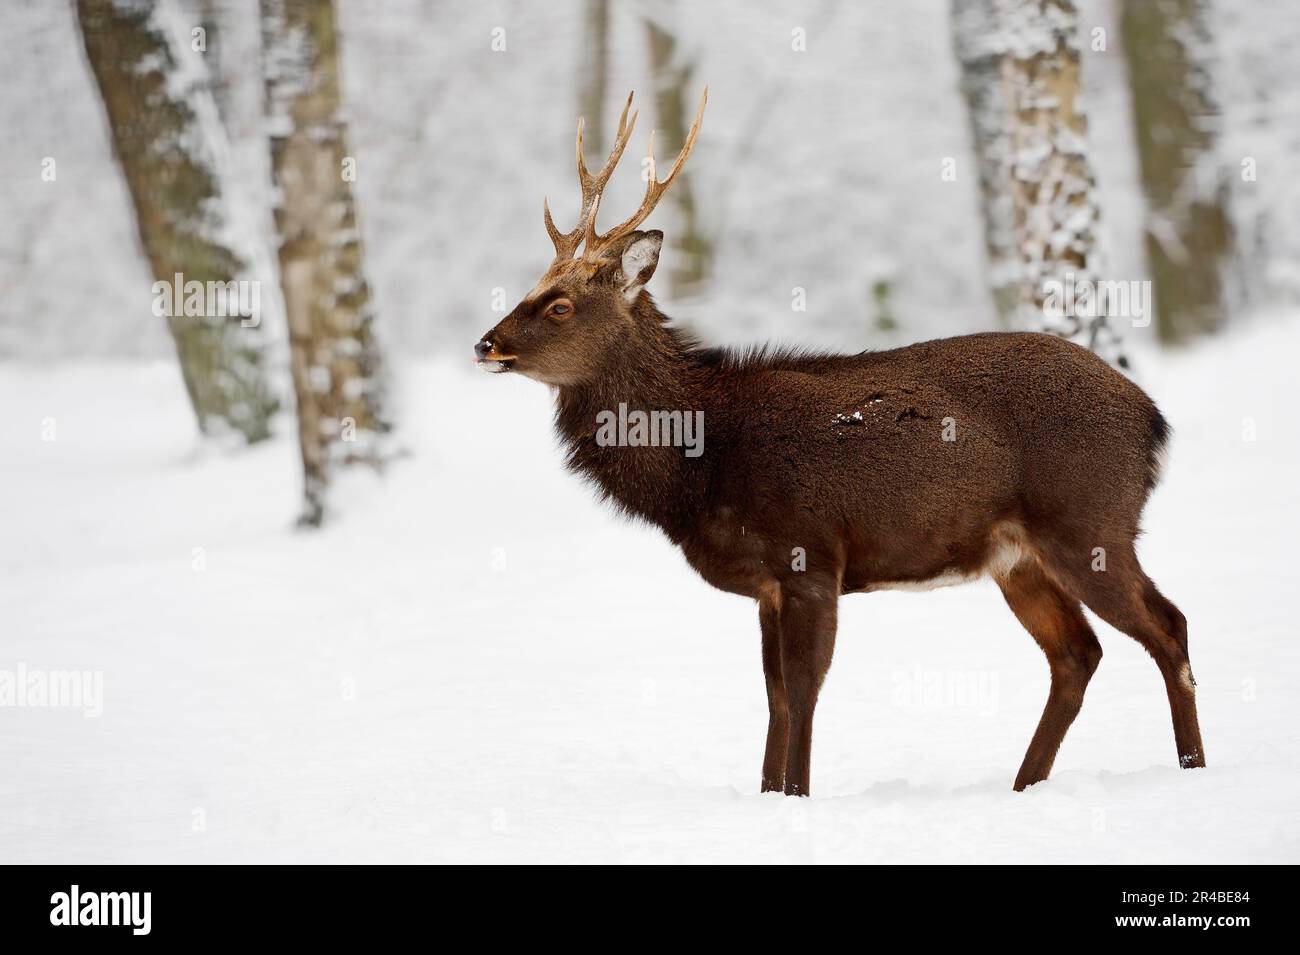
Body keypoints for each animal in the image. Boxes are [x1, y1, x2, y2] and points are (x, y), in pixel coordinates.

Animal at [475, 90, 1206, 796]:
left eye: (560, 305)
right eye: (533, 288)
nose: (486, 343)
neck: (700, 464)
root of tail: (1153, 417)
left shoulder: (811, 555)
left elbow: (802, 692)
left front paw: (797, 796)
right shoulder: (769, 583)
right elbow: (773, 695)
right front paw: (771, 796)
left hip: (1089, 522)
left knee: (1168, 625)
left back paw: (1191, 768)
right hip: (1018, 555)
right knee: (1078, 653)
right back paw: (1026, 784)